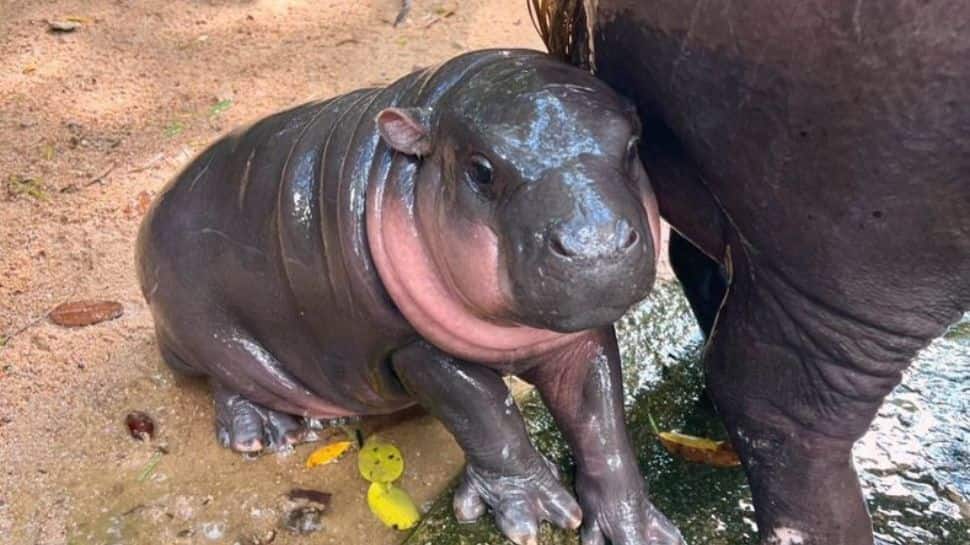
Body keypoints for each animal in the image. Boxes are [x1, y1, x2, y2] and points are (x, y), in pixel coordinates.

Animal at [137, 49, 681, 545]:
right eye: (481, 170)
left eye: (634, 145)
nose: (597, 245)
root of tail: (155, 210)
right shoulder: (415, 349)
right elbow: (487, 417)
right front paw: (532, 513)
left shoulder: (579, 334)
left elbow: (601, 420)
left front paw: (640, 529)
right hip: (207, 329)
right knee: (225, 378)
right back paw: (266, 433)